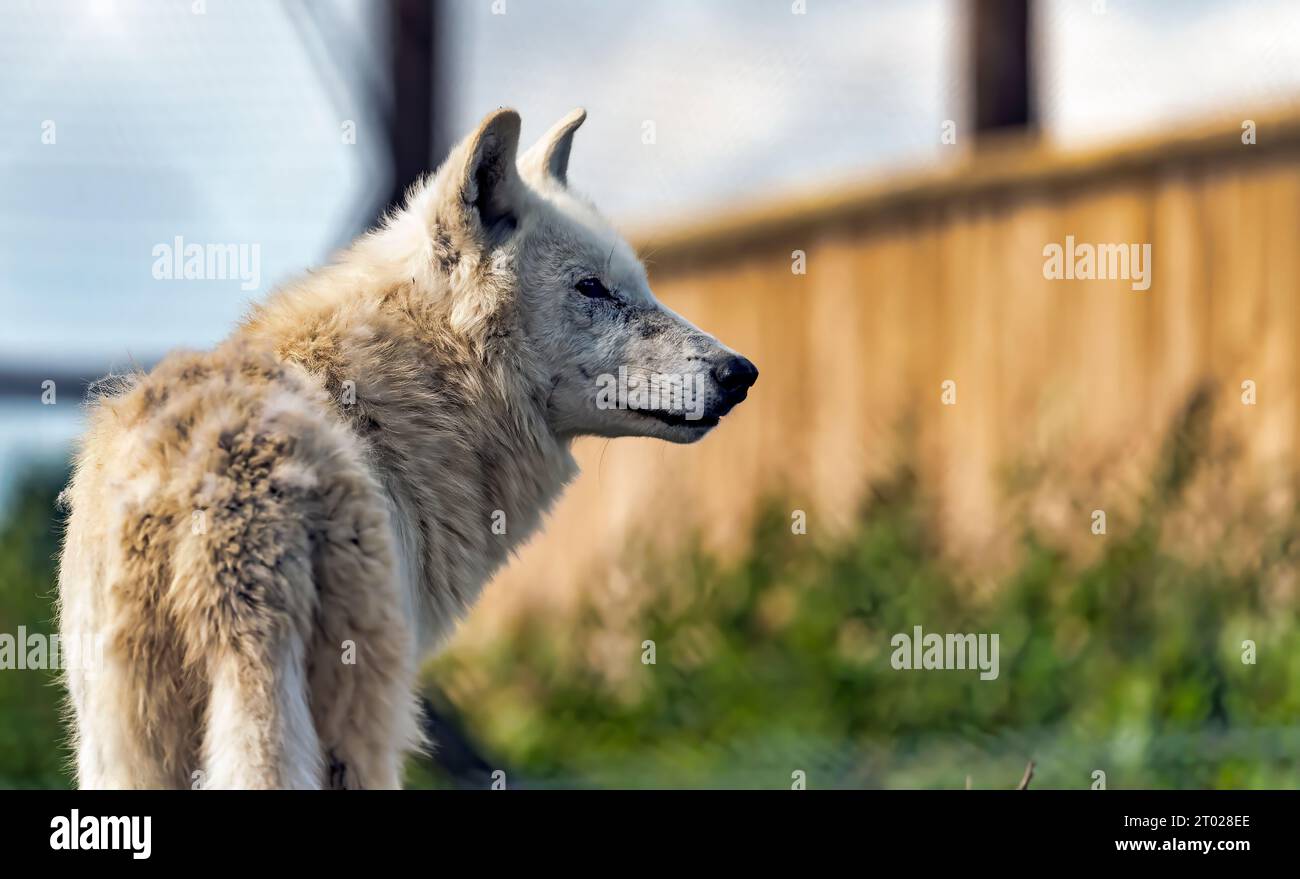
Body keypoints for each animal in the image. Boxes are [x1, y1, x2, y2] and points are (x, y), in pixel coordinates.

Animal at [57, 108, 757, 789]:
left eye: (641, 287)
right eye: (591, 288)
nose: (742, 372)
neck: (423, 382)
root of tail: (225, 485)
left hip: (129, 747)